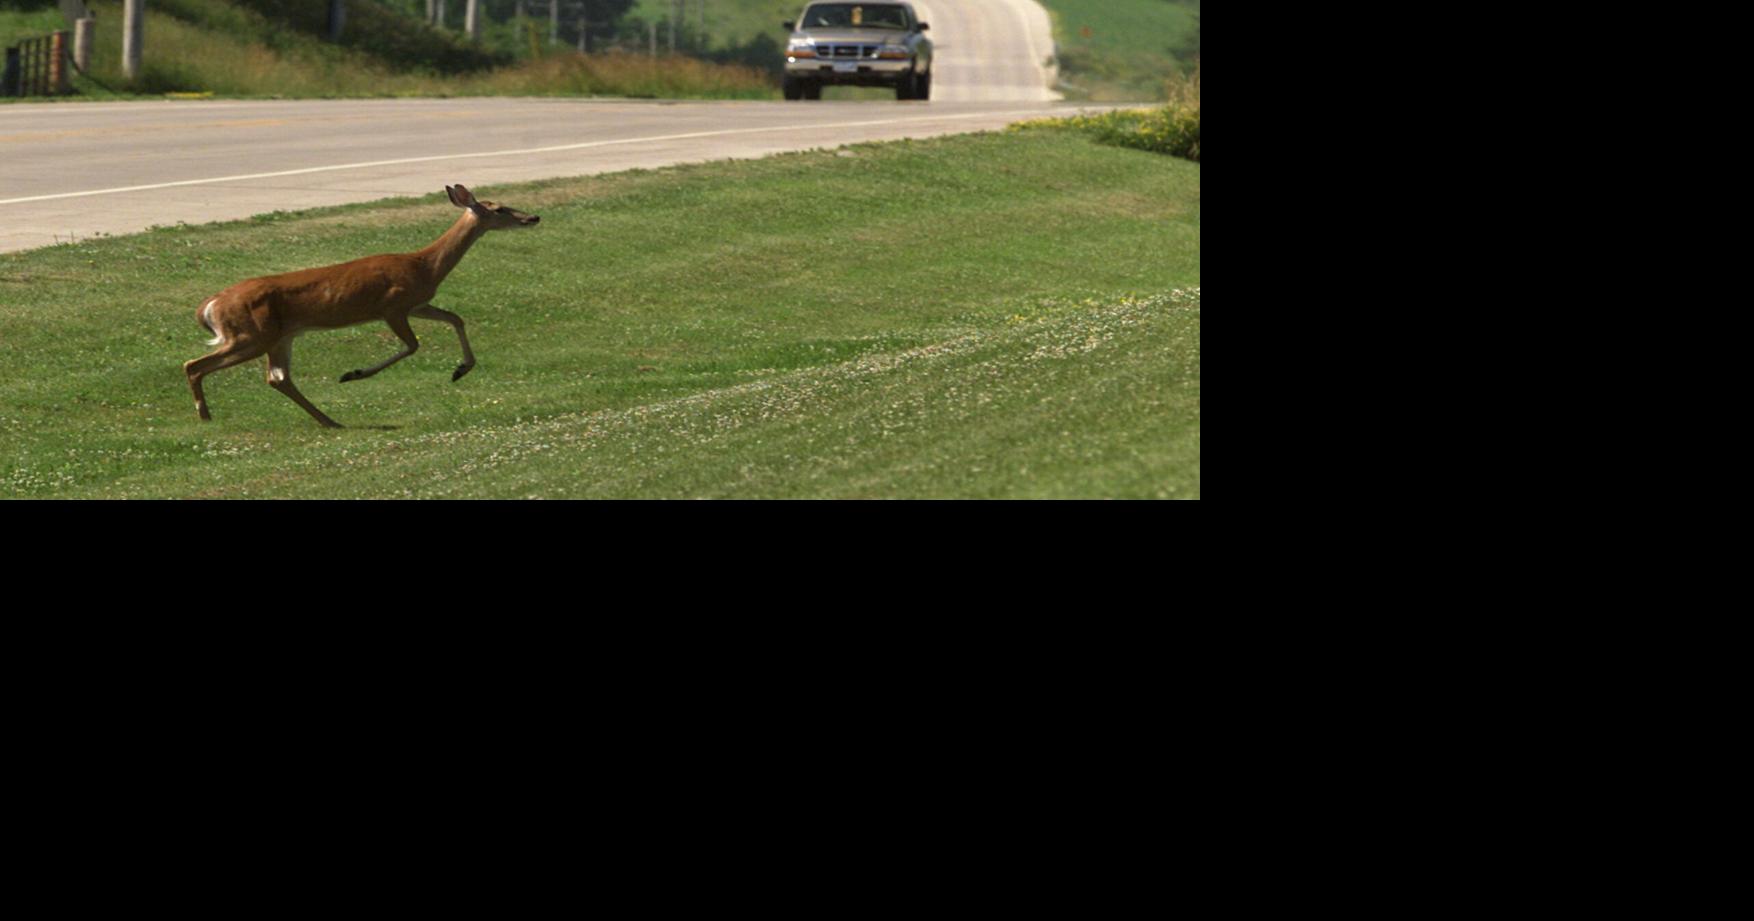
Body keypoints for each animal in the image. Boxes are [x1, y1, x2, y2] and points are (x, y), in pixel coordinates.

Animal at [183, 184, 540, 429]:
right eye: (500, 208)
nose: (533, 216)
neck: (423, 265)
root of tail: (209, 305)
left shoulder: (417, 303)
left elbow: (456, 318)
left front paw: (461, 369)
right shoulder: (393, 305)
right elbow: (412, 345)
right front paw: (353, 374)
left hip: (278, 336)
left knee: (277, 378)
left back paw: (330, 421)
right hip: (250, 334)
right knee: (193, 364)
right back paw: (205, 415)